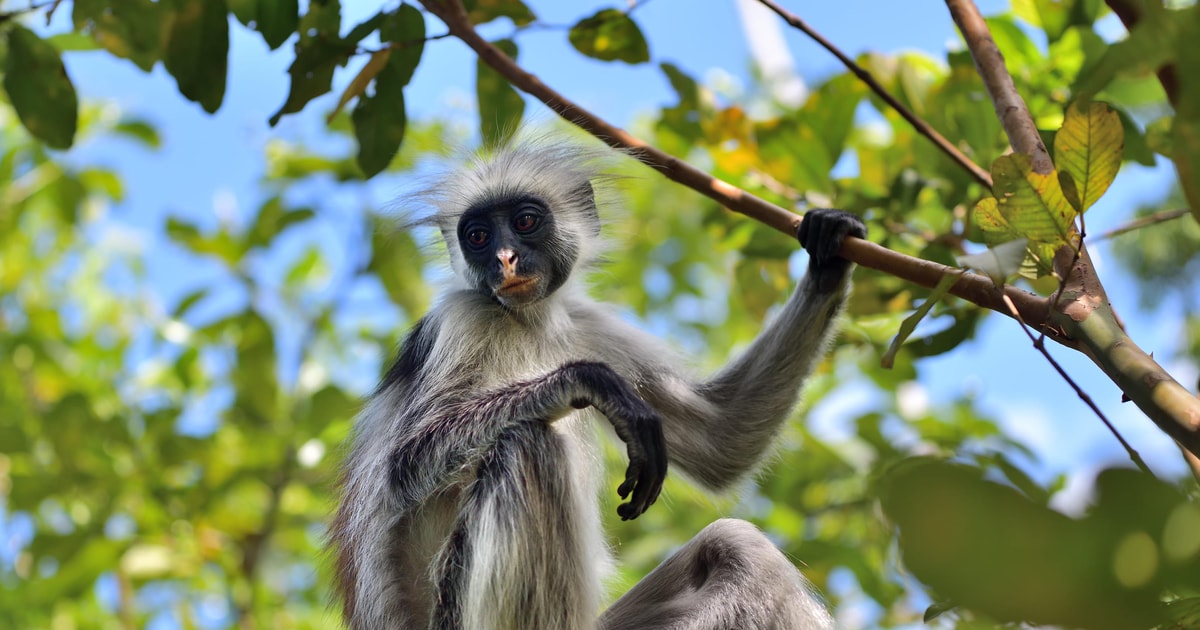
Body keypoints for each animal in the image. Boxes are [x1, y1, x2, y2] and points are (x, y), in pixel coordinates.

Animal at [329, 138, 865, 630]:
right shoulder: (465, 317)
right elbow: (405, 464)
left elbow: (722, 441)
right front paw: (588, 381)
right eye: (477, 236)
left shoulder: (586, 326)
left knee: (737, 547)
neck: (528, 322)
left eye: (525, 222)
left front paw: (829, 254)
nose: (504, 258)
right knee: (527, 443)